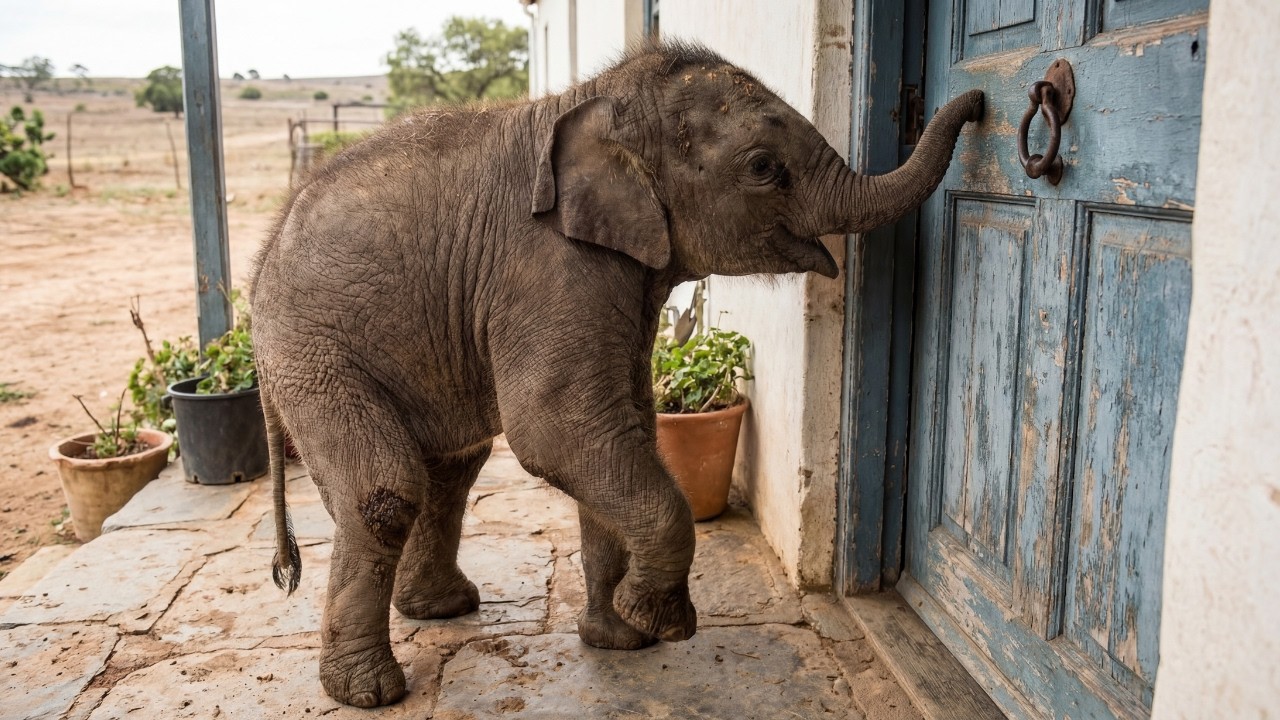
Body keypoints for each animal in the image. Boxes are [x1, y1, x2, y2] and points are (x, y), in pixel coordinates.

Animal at [250, 40, 983, 707]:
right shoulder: (549, 266)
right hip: (311, 350)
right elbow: (557, 432)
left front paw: (622, 640)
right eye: (763, 167)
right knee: (384, 488)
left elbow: (618, 430)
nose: (980, 102)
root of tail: (261, 261)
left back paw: (442, 609)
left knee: (451, 469)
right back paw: (369, 692)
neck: (596, 101)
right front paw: (662, 621)